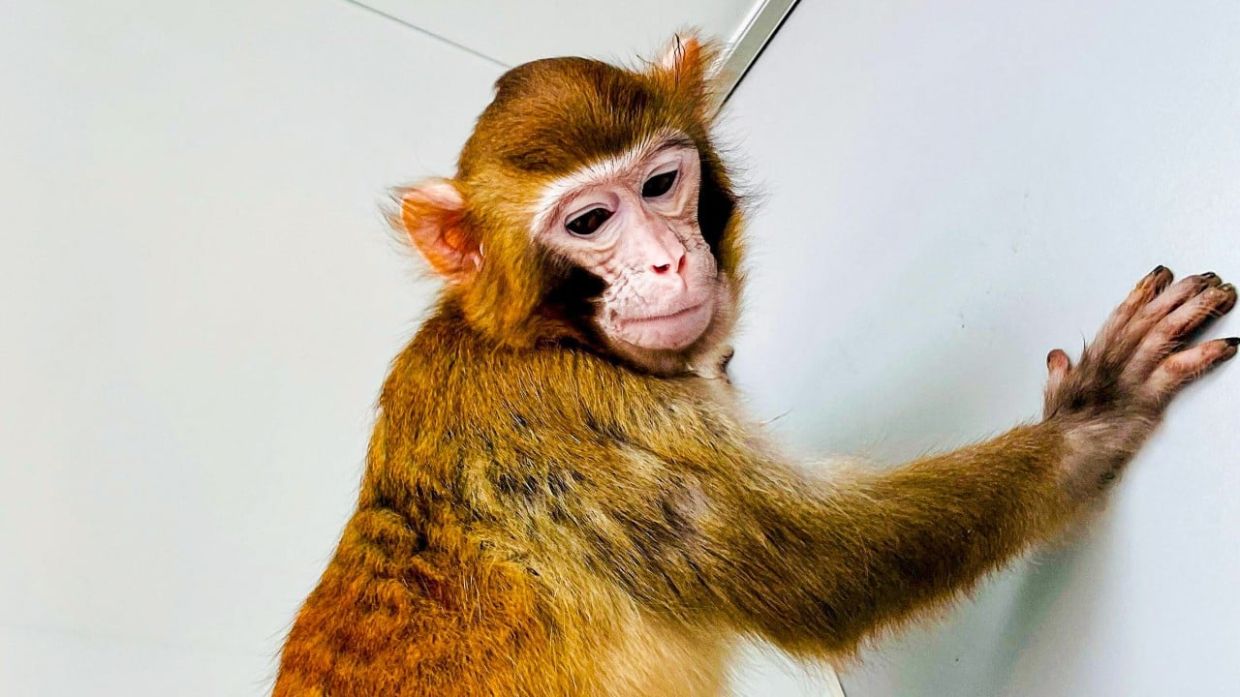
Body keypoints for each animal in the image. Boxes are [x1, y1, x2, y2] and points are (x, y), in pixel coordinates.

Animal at [272, 35, 1238, 696]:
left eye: (661, 184)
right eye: (590, 222)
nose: (667, 259)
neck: (538, 337)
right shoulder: (576, 415)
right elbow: (829, 572)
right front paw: (1093, 414)